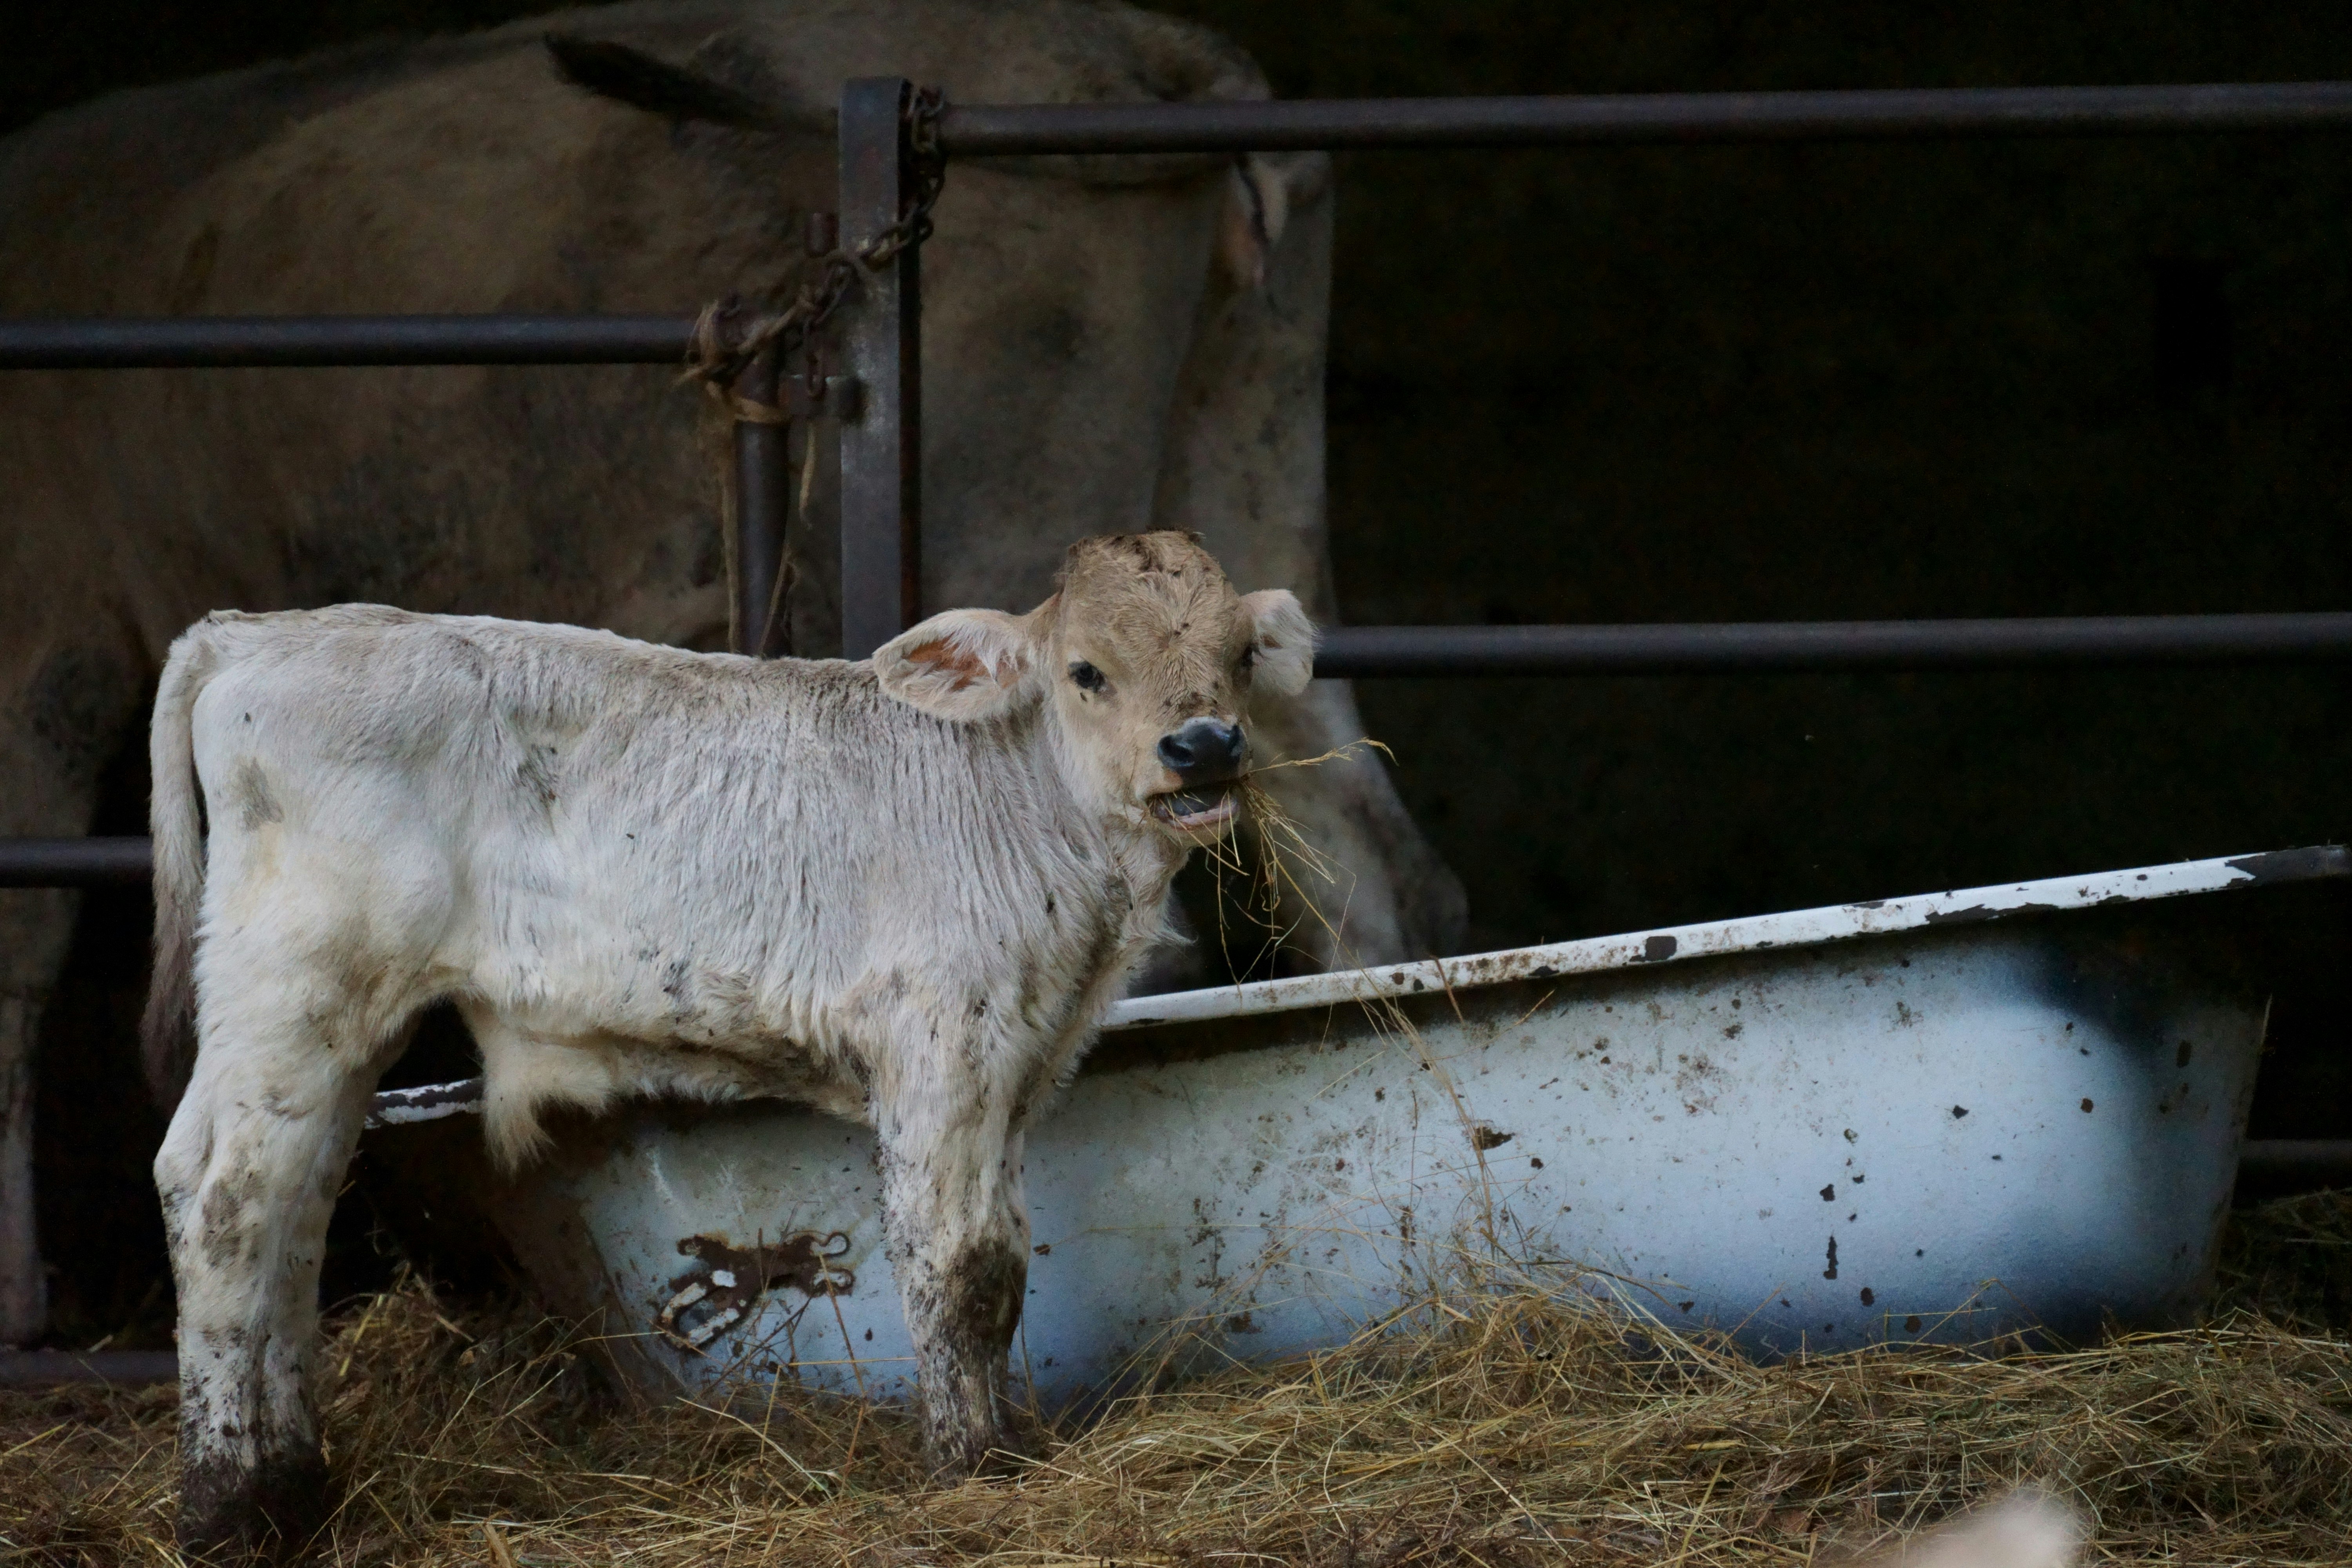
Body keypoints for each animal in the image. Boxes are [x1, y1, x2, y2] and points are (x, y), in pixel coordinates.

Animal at [146, 530, 1309, 1551]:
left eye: (1238, 657)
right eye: (1085, 671)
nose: (1204, 747)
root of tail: (254, 634)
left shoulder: (1018, 1066)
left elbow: (1010, 1260)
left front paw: (1008, 1444)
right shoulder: (939, 1051)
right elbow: (957, 1263)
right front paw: (969, 1463)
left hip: (326, 1032)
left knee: (292, 1211)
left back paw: (293, 1480)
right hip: (296, 981)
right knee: (223, 1198)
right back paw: (226, 1505)